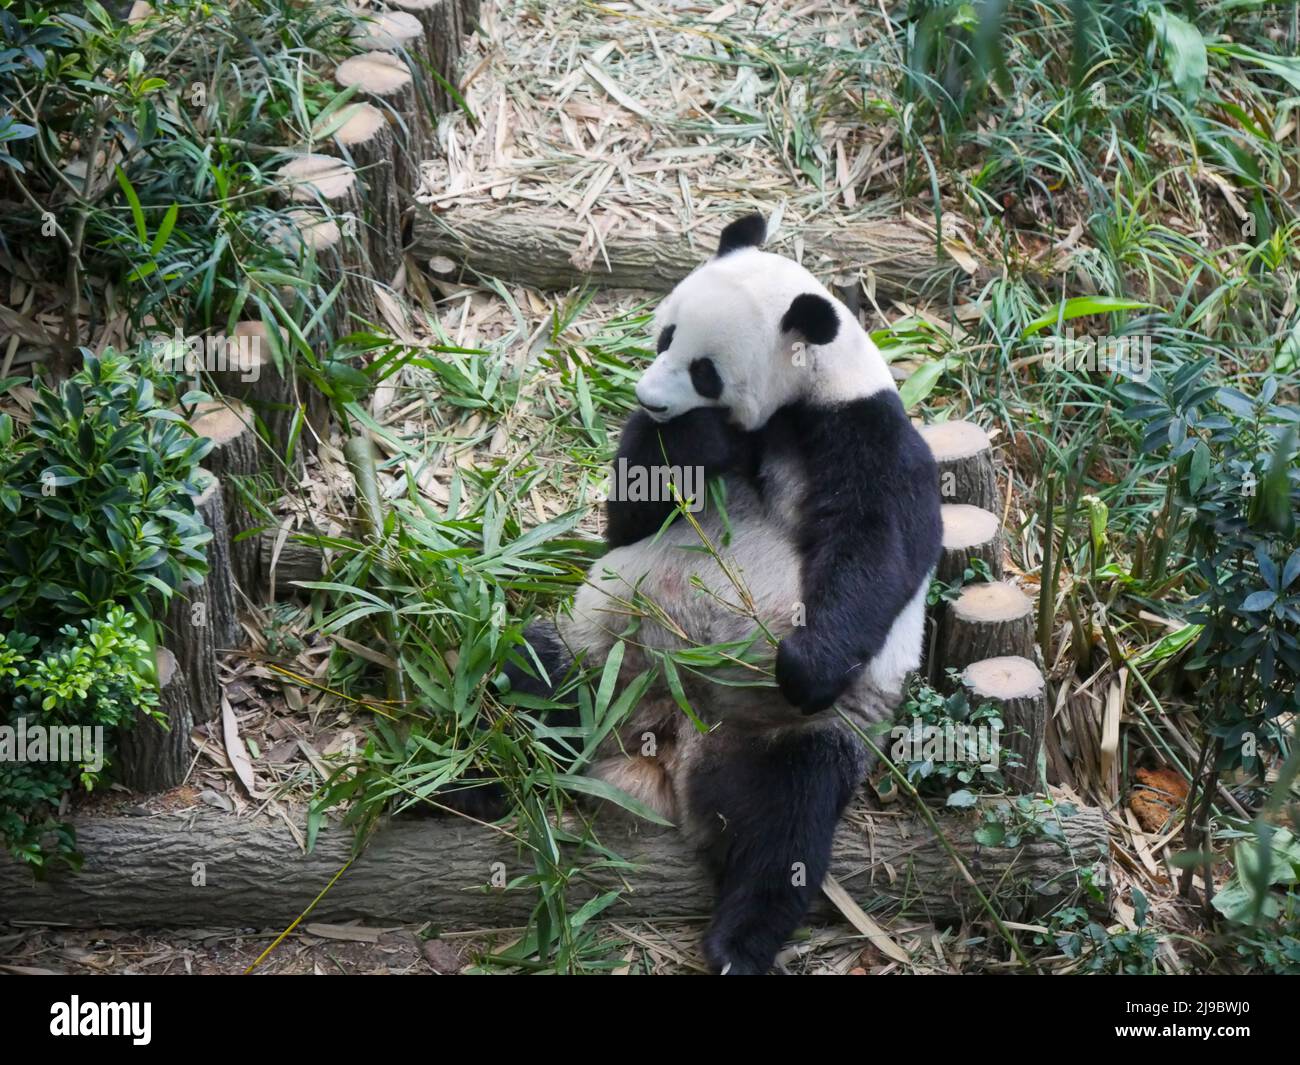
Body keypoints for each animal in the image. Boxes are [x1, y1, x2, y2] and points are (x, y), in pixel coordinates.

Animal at [499, 213, 942, 974]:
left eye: (706, 370)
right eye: (664, 336)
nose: (650, 397)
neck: (800, 398)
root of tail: (667, 735)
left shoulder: (864, 433)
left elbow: (877, 547)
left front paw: (806, 663)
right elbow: (630, 517)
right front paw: (682, 439)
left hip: (790, 733)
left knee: (785, 825)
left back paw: (740, 941)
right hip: (600, 656)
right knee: (523, 681)